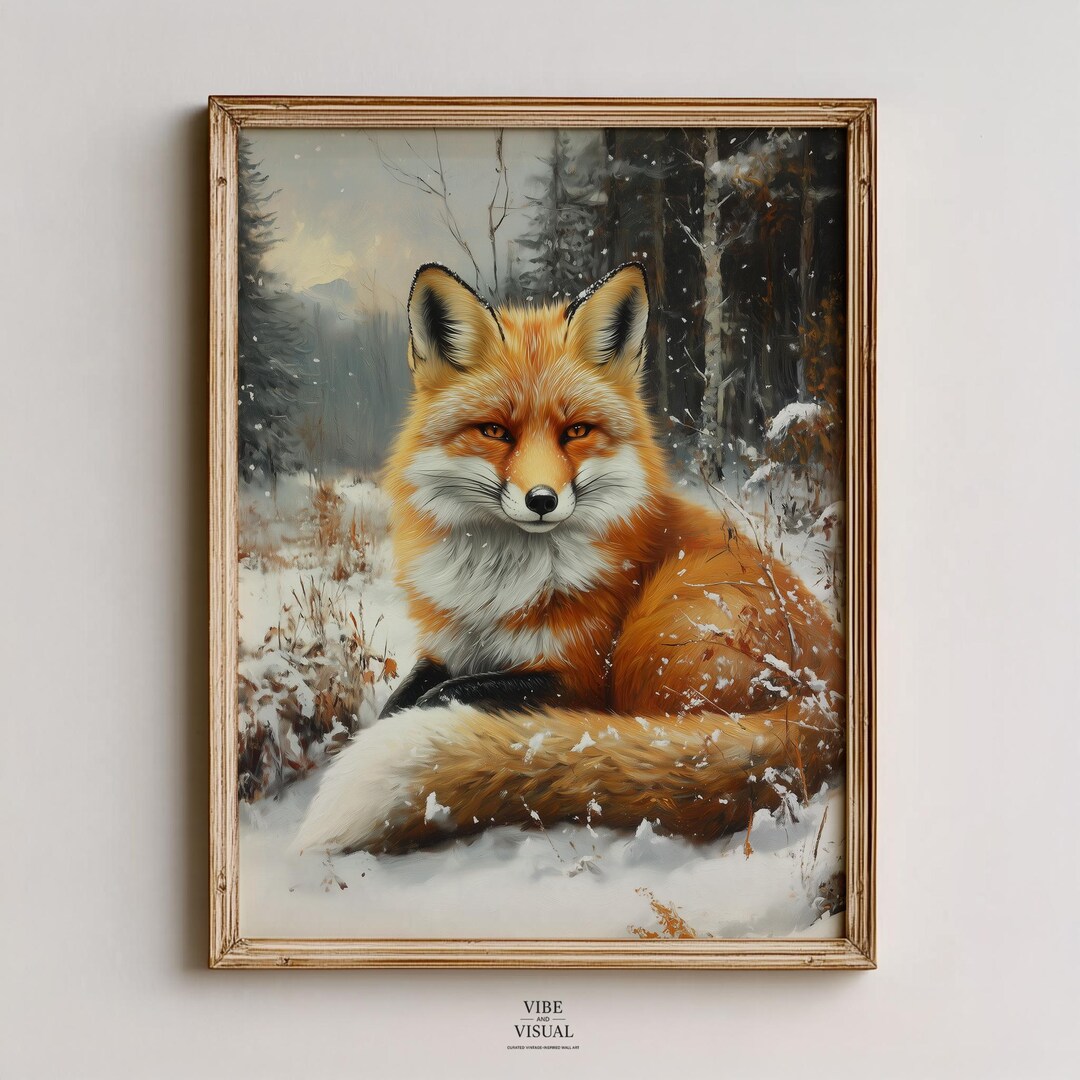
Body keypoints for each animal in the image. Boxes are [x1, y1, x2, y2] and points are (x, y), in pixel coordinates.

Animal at [296, 262, 844, 855]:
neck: (498, 588)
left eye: (575, 431)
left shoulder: (577, 675)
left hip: (647, 648)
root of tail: (828, 698)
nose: (542, 500)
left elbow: (445, 697)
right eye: (496, 431)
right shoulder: (450, 646)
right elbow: (400, 701)